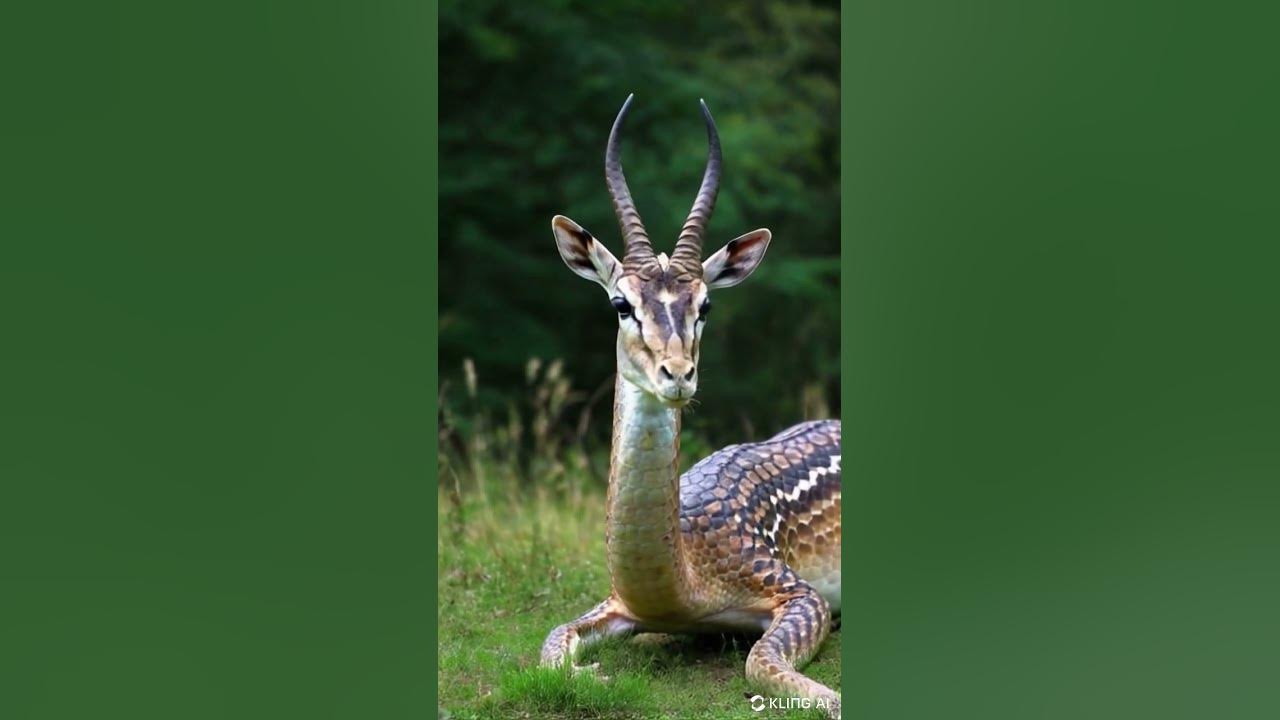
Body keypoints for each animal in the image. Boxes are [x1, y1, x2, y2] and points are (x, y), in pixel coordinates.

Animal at [541, 94, 841, 718]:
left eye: (706, 306)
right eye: (620, 303)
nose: (677, 374)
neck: (691, 585)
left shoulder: (789, 581)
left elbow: (760, 662)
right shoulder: (615, 600)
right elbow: (551, 641)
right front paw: (595, 674)